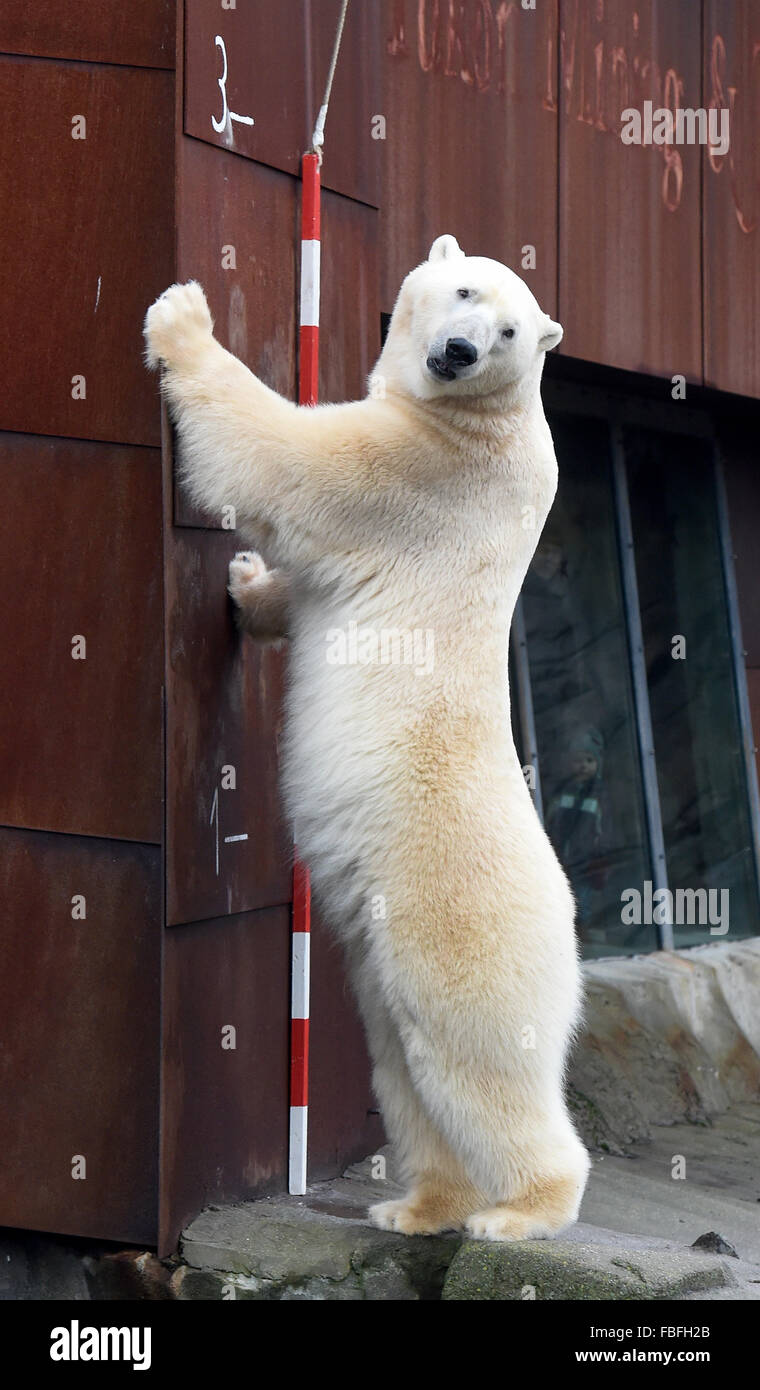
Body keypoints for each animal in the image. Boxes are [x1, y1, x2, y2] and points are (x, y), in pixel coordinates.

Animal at [144, 234, 590, 1241]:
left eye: (508, 330)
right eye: (462, 291)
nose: (458, 352)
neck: (491, 420)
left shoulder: (425, 470)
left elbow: (287, 459)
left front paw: (183, 318)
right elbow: (299, 577)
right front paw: (245, 585)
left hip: (463, 917)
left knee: (477, 1054)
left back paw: (517, 1214)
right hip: (383, 947)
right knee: (406, 1063)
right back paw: (417, 1207)